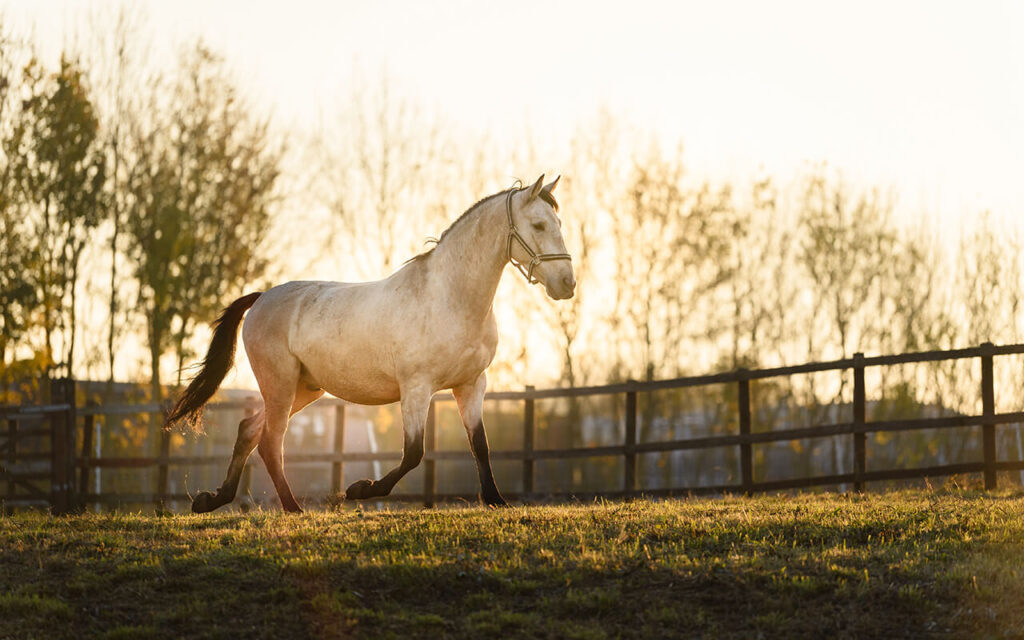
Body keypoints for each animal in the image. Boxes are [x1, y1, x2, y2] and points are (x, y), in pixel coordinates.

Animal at [164, 175, 575, 512]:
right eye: (539, 225)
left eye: (559, 224)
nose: (567, 284)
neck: (450, 297)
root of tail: (262, 297)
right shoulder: (417, 387)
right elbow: (413, 453)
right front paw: (360, 489)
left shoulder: (471, 385)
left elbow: (480, 445)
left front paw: (495, 500)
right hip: (280, 385)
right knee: (269, 442)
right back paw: (292, 508)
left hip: (304, 389)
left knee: (249, 431)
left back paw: (213, 500)